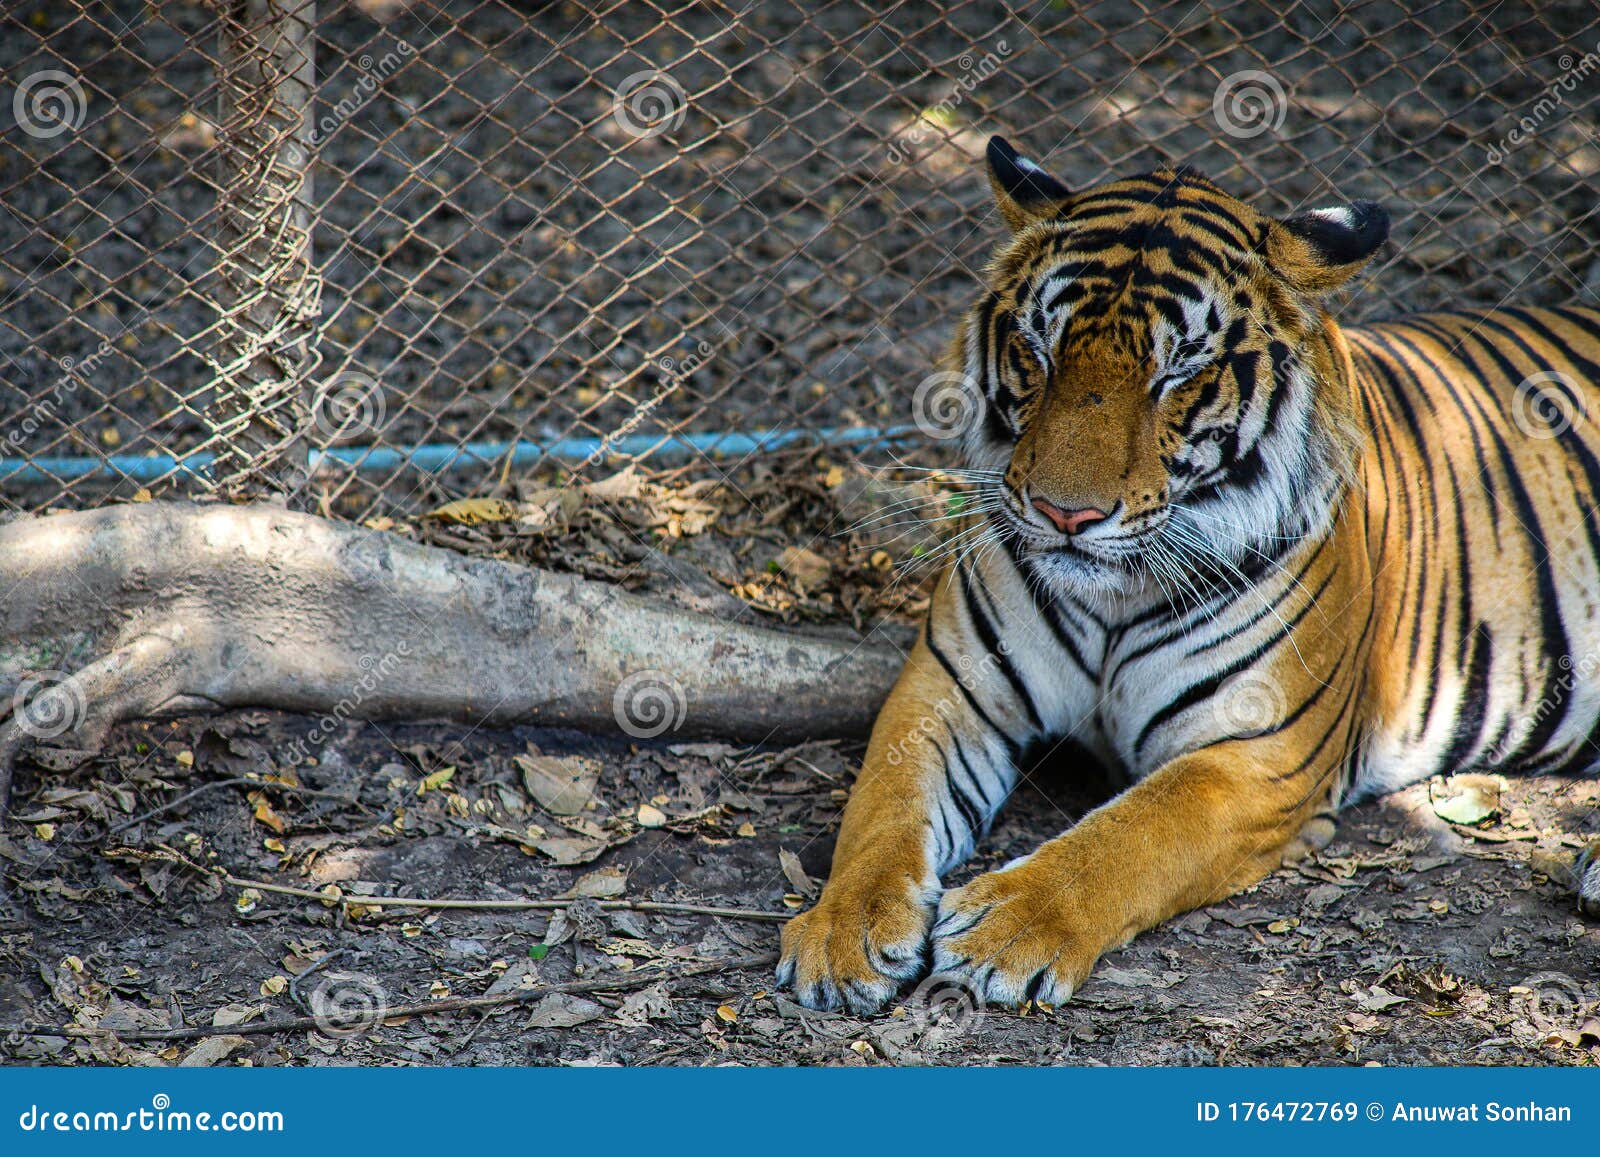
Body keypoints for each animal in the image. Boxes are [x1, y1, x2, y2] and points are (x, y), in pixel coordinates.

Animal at [776, 135, 1600, 1013]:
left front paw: (1005, 925)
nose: (1065, 514)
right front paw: (843, 931)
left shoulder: (1260, 752)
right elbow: (882, 809)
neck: (1114, 596)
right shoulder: (945, 688)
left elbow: (1133, 832)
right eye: (1039, 351)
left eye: (1175, 375)